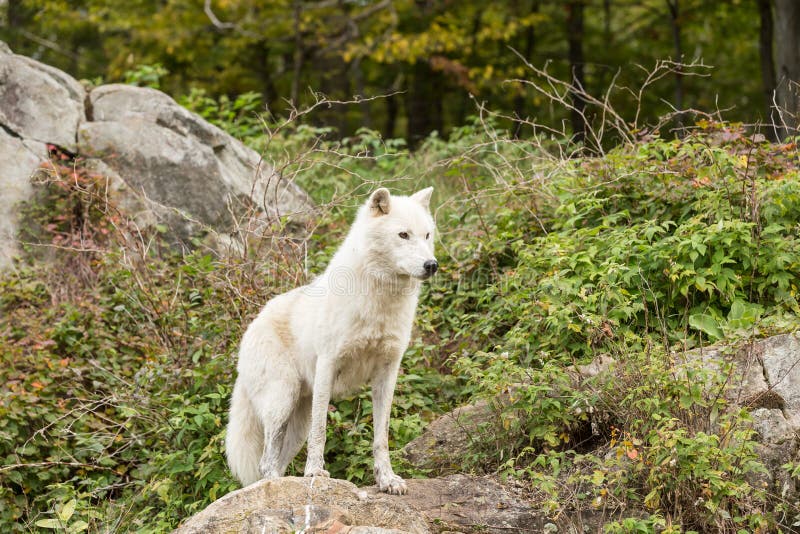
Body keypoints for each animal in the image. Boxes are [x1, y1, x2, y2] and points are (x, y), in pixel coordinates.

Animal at [225, 187, 438, 495]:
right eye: (403, 235)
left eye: (427, 235)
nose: (431, 265)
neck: (379, 302)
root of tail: (251, 327)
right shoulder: (327, 365)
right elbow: (322, 431)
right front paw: (315, 473)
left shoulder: (387, 373)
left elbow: (381, 437)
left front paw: (387, 480)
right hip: (281, 402)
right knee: (266, 463)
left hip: (296, 423)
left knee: (276, 462)